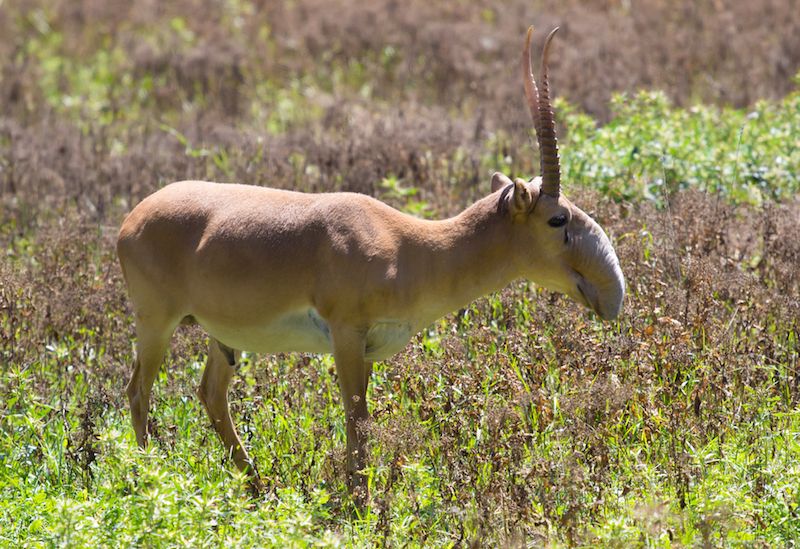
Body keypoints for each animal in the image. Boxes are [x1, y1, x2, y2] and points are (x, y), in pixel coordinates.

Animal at [117, 26, 624, 501]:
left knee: (210, 394)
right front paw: (358, 506)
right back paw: (147, 479)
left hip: (222, 339)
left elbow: (364, 422)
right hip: (156, 323)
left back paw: (259, 487)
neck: (410, 246)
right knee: (138, 391)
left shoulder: (369, 349)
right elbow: (356, 419)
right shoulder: (346, 336)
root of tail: (132, 218)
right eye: (558, 218)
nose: (612, 295)